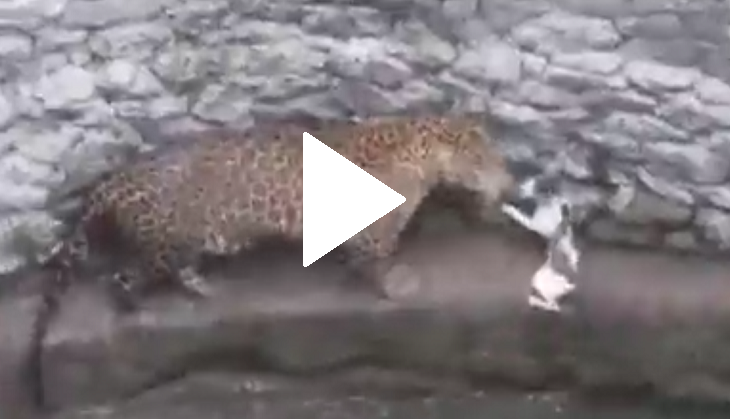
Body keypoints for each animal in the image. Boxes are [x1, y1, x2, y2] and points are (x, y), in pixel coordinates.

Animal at [24, 113, 518, 410]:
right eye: (487, 160)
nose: (510, 181)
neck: (422, 150)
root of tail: (119, 177)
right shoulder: (374, 230)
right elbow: (377, 258)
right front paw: (395, 286)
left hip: (186, 242)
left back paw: (203, 287)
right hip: (164, 243)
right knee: (123, 277)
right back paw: (137, 313)